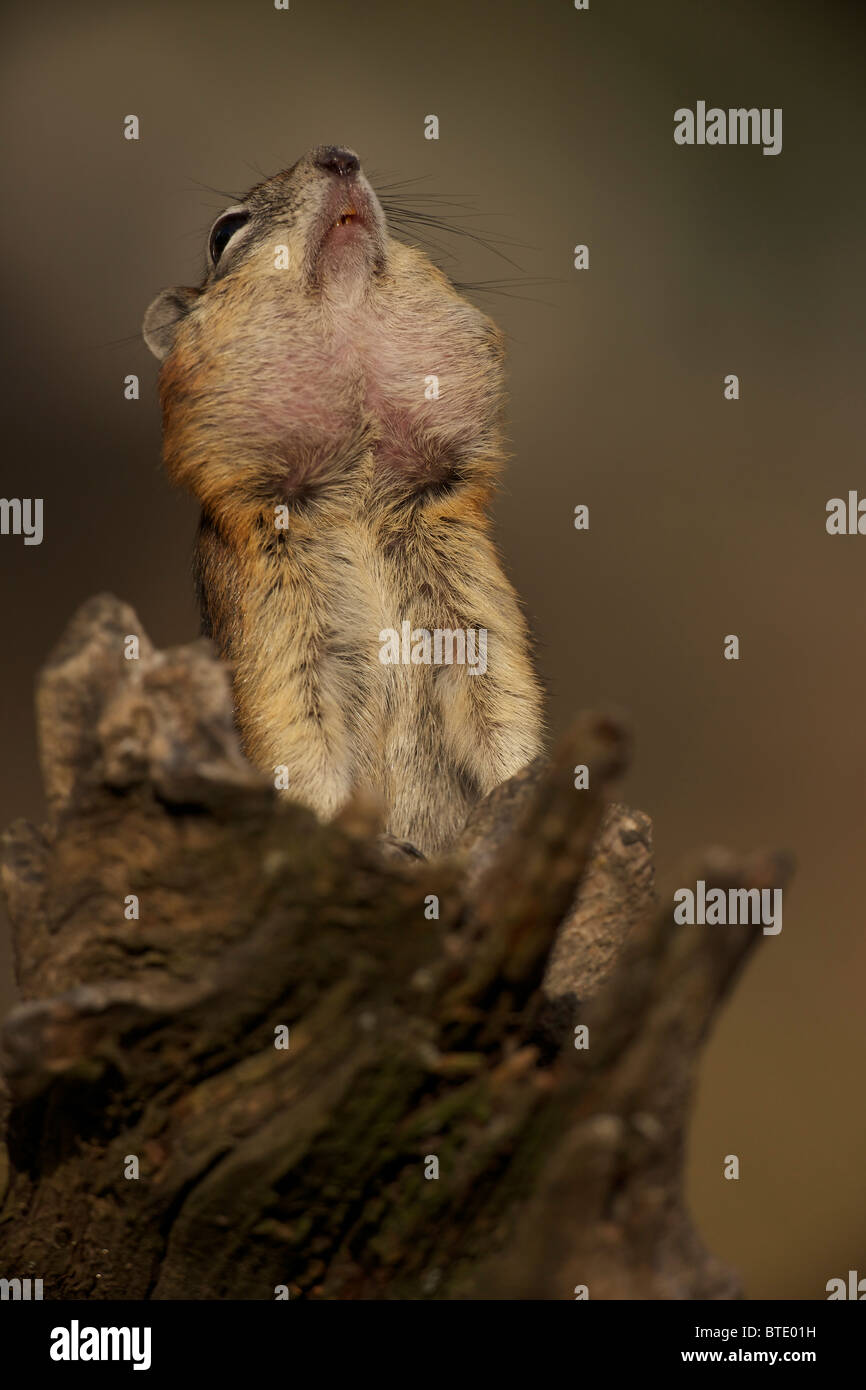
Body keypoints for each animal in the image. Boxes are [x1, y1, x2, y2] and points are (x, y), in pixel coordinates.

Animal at [143, 145, 544, 856]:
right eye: (224, 233)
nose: (337, 155)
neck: (358, 500)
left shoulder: (471, 610)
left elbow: (503, 710)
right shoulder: (279, 638)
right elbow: (299, 748)